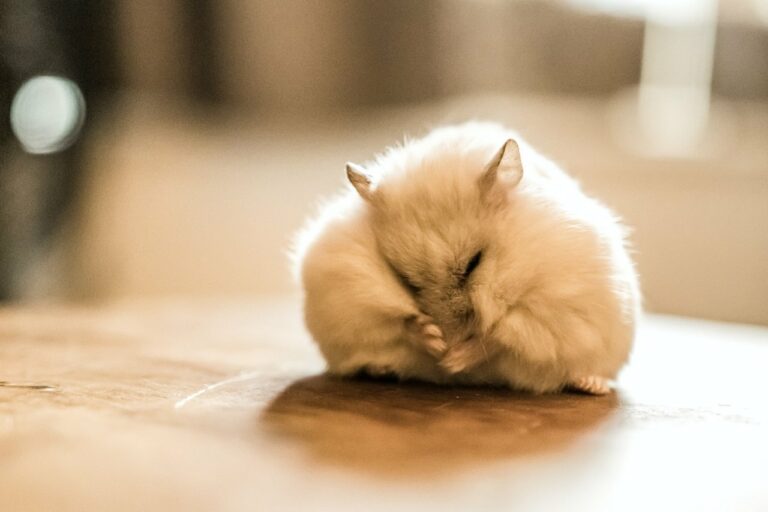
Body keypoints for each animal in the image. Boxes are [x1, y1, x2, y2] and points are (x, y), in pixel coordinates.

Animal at [292, 122, 640, 394]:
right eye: (404, 280)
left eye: (475, 263)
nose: (451, 341)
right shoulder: (347, 297)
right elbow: (399, 323)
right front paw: (434, 343)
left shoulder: (552, 307)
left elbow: (500, 336)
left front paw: (455, 359)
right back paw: (381, 370)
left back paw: (591, 385)